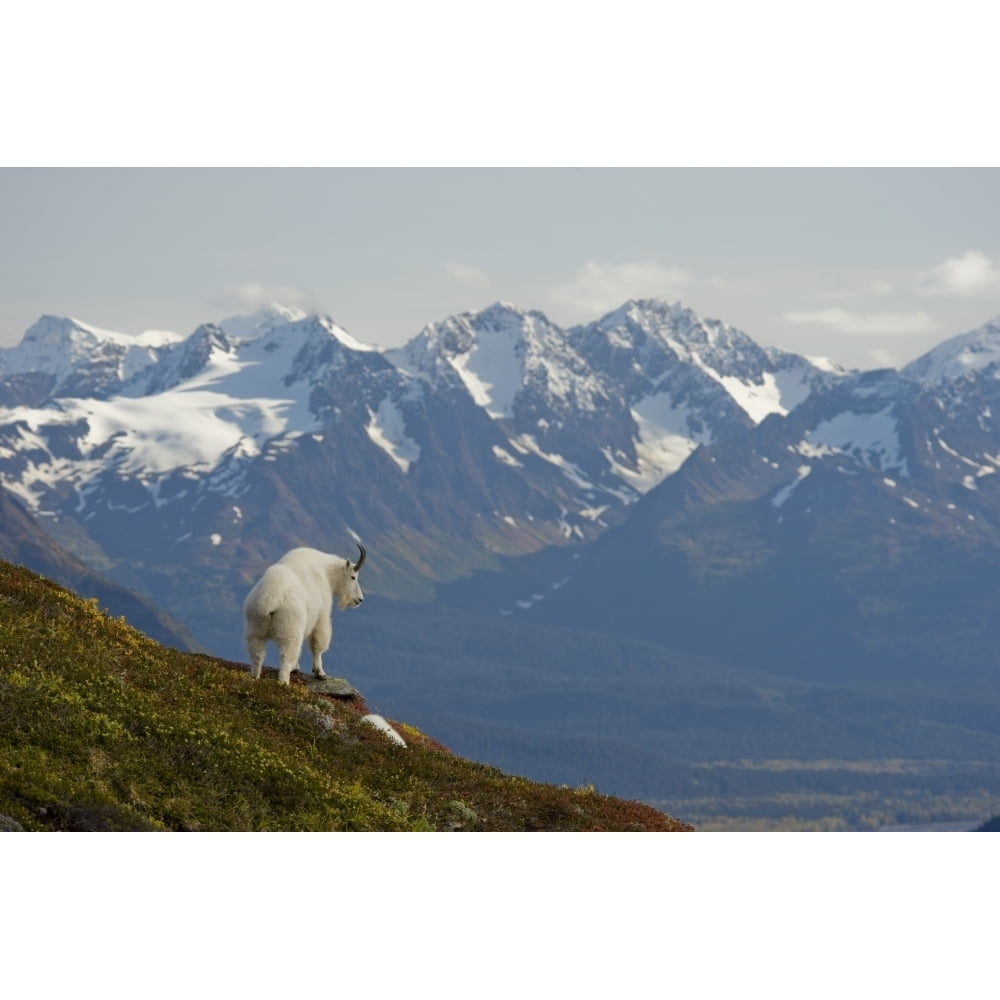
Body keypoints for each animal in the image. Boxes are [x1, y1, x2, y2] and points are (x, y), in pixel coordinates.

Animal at [244, 544, 366, 685]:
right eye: (353, 577)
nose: (360, 599)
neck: (326, 573)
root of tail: (270, 598)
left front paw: (297, 667)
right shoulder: (321, 617)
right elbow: (317, 646)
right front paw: (320, 673)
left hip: (255, 628)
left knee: (257, 655)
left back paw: (255, 677)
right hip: (290, 630)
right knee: (286, 656)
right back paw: (284, 682)